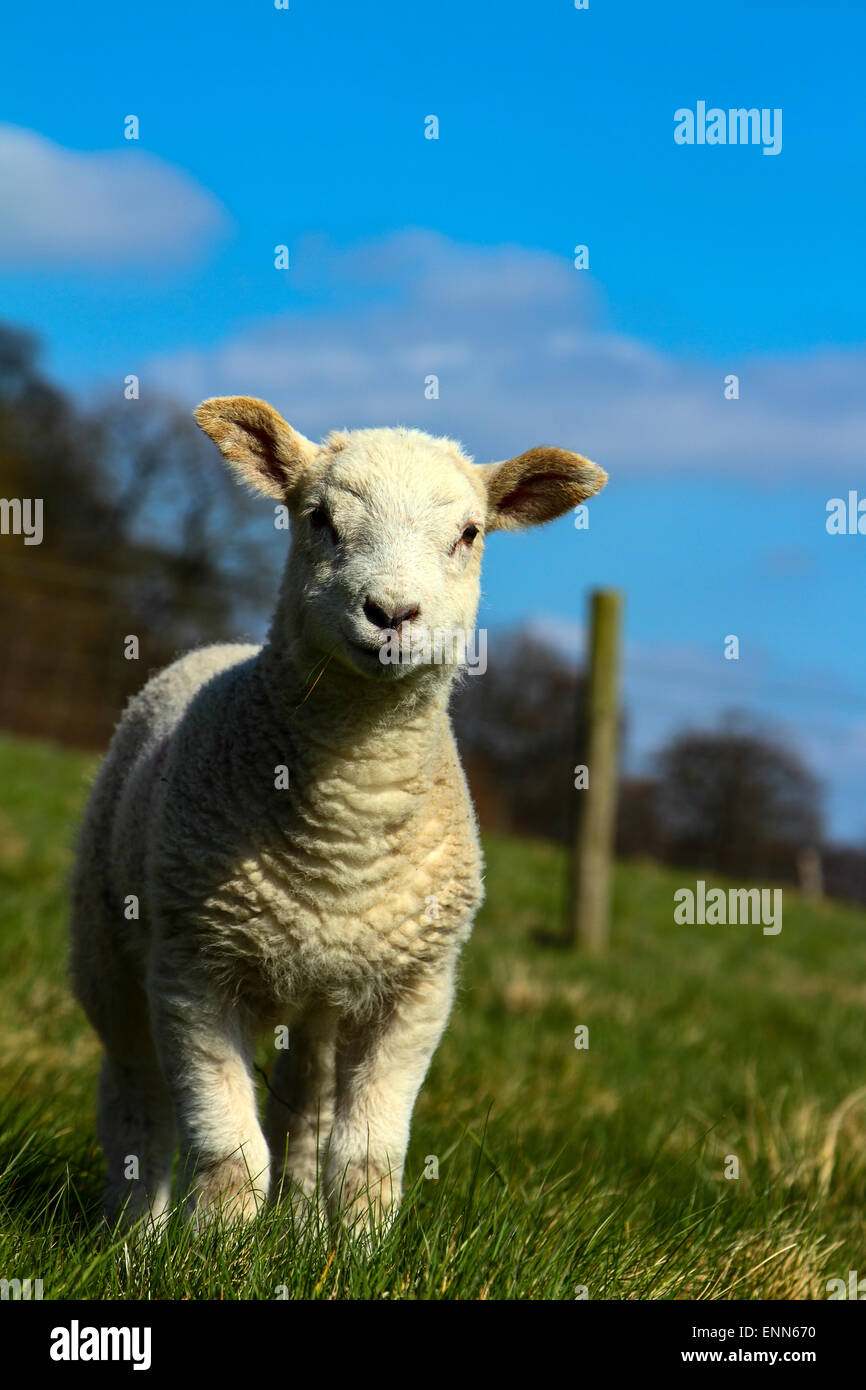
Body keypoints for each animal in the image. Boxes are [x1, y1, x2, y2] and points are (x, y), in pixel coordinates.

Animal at [69, 396, 607, 1234]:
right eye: (317, 517)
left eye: (470, 533)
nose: (391, 612)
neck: (344, 835)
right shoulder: (193, 972)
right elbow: (228, 1153)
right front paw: (218, 1247)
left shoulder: (416, 990)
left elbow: (366, 1156)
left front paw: (353, 1245)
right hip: (109, 949)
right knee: (133, 1093)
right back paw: (136, 1231)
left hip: (321, 994)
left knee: (307, 1109)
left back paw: (300, 1226)